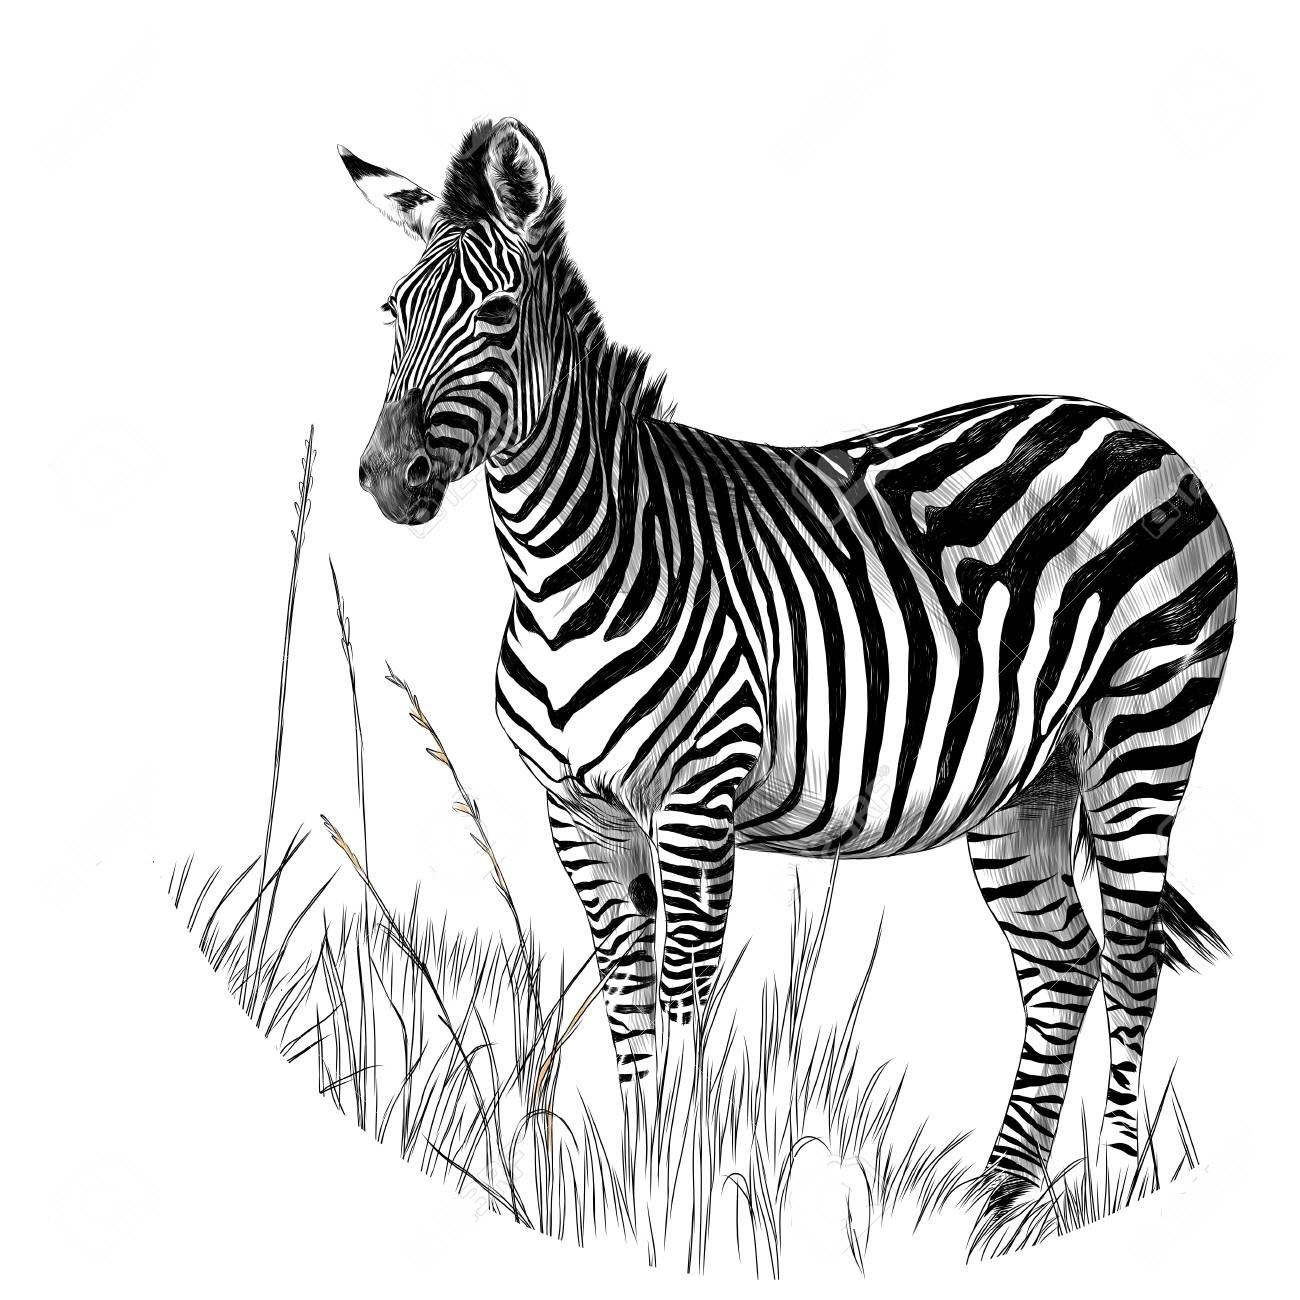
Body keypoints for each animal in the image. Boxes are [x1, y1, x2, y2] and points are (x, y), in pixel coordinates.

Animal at [340, 118, 1235, 1209]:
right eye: (394, 312)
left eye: (498, 315)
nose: (387, 478)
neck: (567, 570)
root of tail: (1129, 426)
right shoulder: (578, 809)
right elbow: (627, 988)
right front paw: (637, 1178)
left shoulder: (697, 796)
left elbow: (683, 980)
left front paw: (683, 1173)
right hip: (1028, 779)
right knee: (1064, 960)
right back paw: (1000, 1202)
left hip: (1145, 733)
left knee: (1133, 959)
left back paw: (1113, 1184)